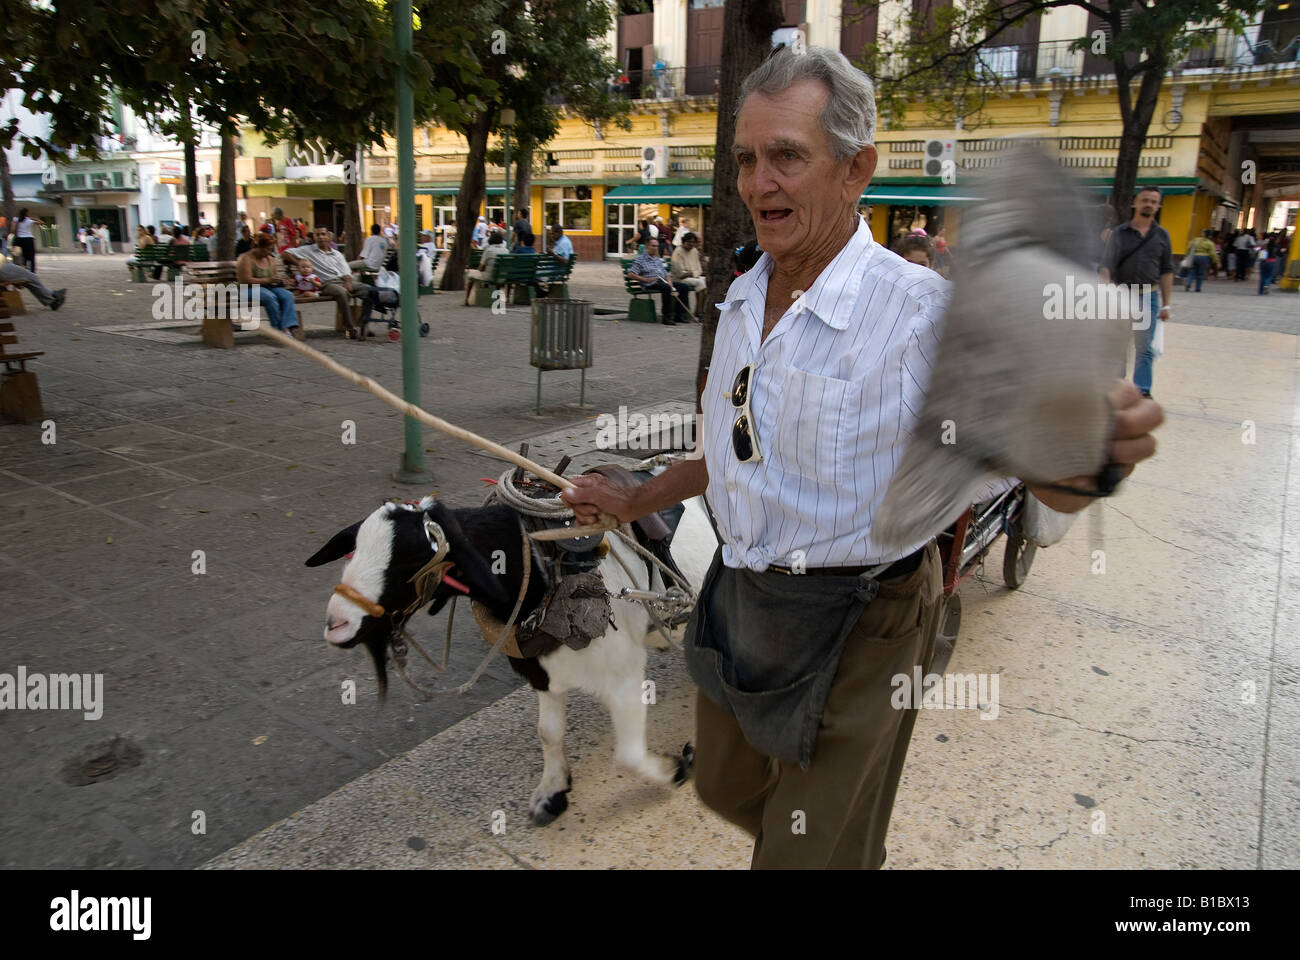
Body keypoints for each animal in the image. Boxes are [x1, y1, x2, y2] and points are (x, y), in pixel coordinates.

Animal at [305, 488, 717, 825]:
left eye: (408, 560)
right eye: (354, 549)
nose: (337, 623)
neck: (541, 569)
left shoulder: (625, 673)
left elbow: (629, 755)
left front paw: (678, 768)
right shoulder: (541, 671)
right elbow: (548, 732)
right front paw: (552, 793)